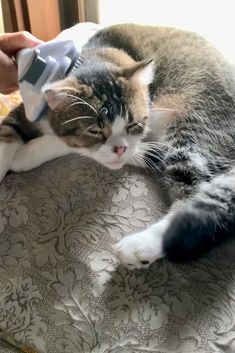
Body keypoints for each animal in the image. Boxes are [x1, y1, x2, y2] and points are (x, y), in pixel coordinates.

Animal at [0, 23, 235, 268]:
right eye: (95, 130)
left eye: (133, 124)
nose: (120, 148)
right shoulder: (26, 112)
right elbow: (7, 134)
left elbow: (70, 145)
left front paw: (27, 153)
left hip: (197, 121)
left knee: (199, 197)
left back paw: (141, 245)